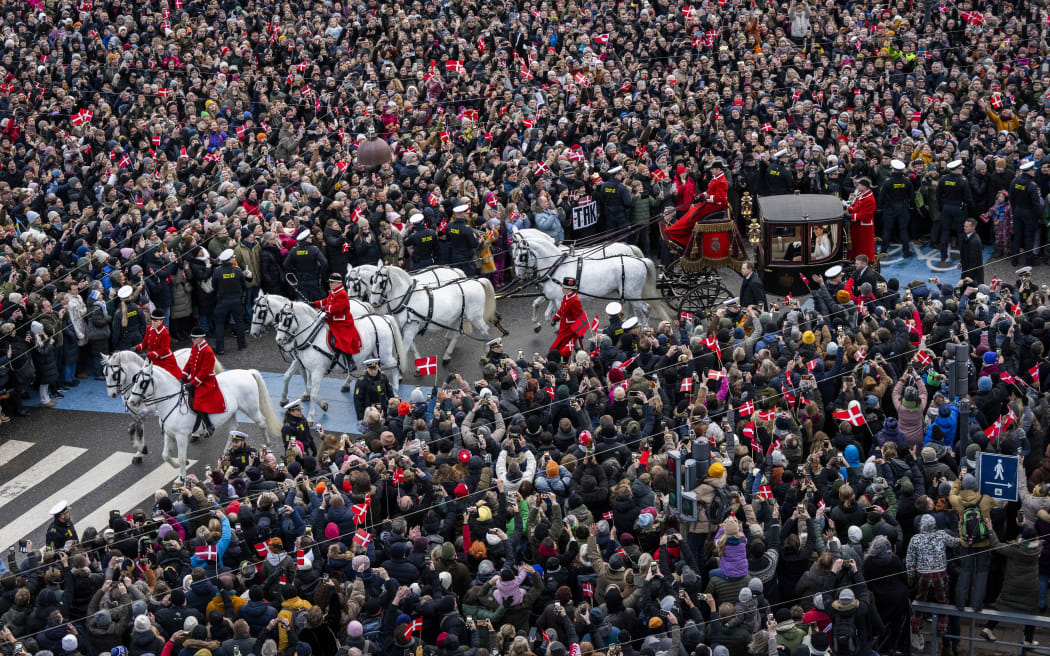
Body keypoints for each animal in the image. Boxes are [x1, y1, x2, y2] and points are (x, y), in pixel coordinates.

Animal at [101, 352, 281, 480]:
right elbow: (165, 455)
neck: (170, 401)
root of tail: (247, 372)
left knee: (262, 422)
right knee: (233, 431)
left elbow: (180, 457)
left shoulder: (180, 435)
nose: (131, 401)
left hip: (251, 408)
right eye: (134, 379)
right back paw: (226, 453)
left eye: (143, 382)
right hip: (230, 414)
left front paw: (182, 477)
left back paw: (267, 446)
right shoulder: (168, 433)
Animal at [273, 295, 407, 413]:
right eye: (278, 318)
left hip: (384, 355)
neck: (312, 337)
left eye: (287, 320)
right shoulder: (307, 366)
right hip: (371, 353)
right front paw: (321, 404)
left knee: (395, 365)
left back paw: (395, 391)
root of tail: (383, 318)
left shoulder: (317, 370)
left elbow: (312, 391)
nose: (278, 340)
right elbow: (303, 384)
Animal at [367, 264, 501, 363]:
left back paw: (485, 353)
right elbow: (412, 348)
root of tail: (476, 281)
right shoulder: (405, 329)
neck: (407, 299)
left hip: (475, 317)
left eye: (381, 283)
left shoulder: (411, 328)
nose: (373, 302)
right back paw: (447, 354)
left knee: (484, 330)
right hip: (457, 316)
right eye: (372, 281)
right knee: (457, 333)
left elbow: (404, 350)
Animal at [510, 228, 663, 327]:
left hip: (632, 293)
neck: (557, 266)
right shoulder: (552, 297)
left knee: (645, 309)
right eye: (513, 254)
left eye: (521, 255)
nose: (518, 275)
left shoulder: (559, 300)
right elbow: (546, 312)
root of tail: (639, 260)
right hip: (628, 292)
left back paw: (644, 329)